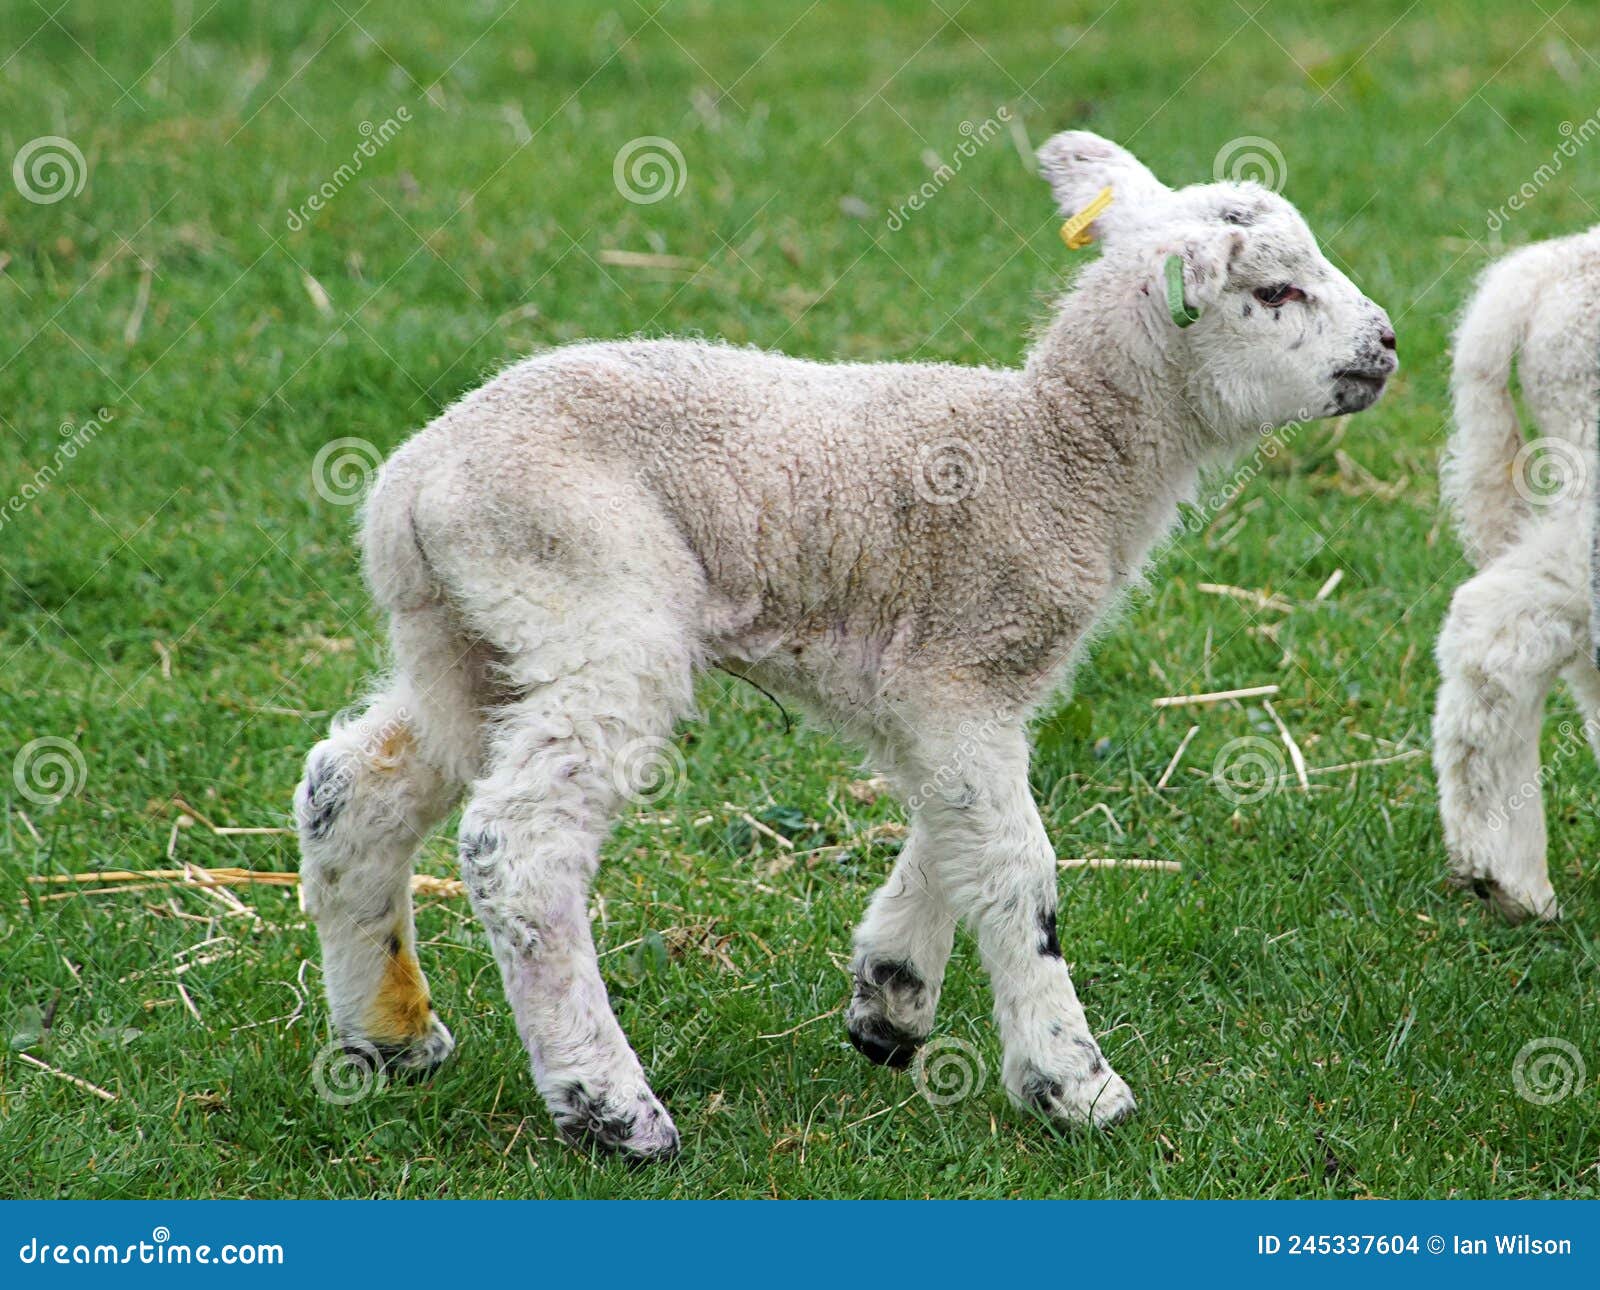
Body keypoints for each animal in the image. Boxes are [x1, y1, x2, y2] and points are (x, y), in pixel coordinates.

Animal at [293, 130, 1397, 1160]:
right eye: (1275, 290)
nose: (1386, 344)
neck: (1056, 451)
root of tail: (409, 489)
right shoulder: (962, 661)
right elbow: (1015, 867)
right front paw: (1072, 1083)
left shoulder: (942, 685)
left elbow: (953, 830)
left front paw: (891, 999)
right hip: (594, 604)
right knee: (519, 844)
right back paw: (612, 1107)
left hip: (471, 637)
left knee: (353, 785)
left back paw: (391, 1039)